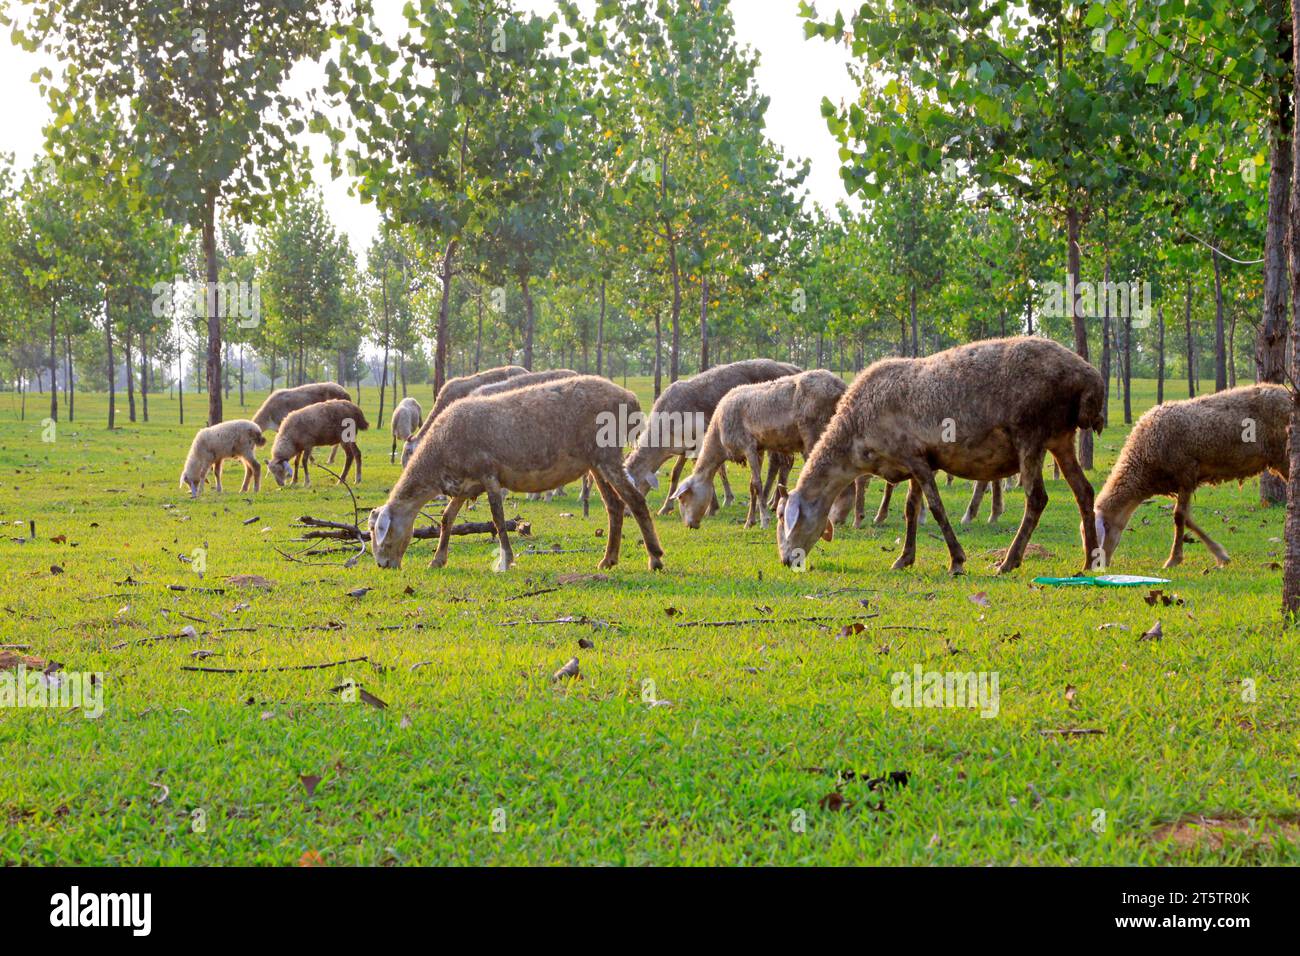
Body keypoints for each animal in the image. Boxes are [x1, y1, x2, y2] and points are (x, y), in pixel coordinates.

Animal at [369, 375, 664, 572]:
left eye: (381, 533)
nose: (383, 565)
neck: (438, 457)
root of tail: (631, 399)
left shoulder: (488, 474)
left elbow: (498, 520)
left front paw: (506, 560)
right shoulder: (466, 484)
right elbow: (446, 518)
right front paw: (438, 560)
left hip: (607, 454)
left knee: (635, 500)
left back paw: (655, 558)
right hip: (595, 460)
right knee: (614, 506)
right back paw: (608, 559)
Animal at [623, 358, 802, 515]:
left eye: (633, 486)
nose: (627, 512)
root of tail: (794, 369)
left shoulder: (701, 437)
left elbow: (707, 469)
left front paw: (712, 506)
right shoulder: (685, 446)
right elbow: (676, 473)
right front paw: (666, 507)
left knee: (780, 462)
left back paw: (768, 502)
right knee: (782, 462)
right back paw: (773, 501)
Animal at [668, 370, 860, 531]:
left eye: (682, 498)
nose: (690, 525)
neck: (718, 436)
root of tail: (840, 385)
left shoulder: (748, 446)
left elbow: (758, 484)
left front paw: (764, 521)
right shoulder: (758, 449)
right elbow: (752, 486)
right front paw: (749, 522)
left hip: (816, 431)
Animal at [776, 336, 1105, 575]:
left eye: (785, 518)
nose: (785, 559)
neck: (857, 445)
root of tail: (1091, 380)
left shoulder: (916, 458)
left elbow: (935, 508)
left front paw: (957, 561)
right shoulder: (915, 460)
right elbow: (911, 508)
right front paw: (904, 559)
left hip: (1031, 433)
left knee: (1037, 498)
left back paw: (1009, 561)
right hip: (1061, 438)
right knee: (1084, 491)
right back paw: (1091, 559)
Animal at [1094, 384, 1290, 568]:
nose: (1094, 566)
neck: (1143, 464)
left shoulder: (1186, 473)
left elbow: (1179, 516)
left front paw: (1173, 559)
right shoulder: (1184, 481)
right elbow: (1187, 518)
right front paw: (1221, 555)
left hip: (1285, 456)